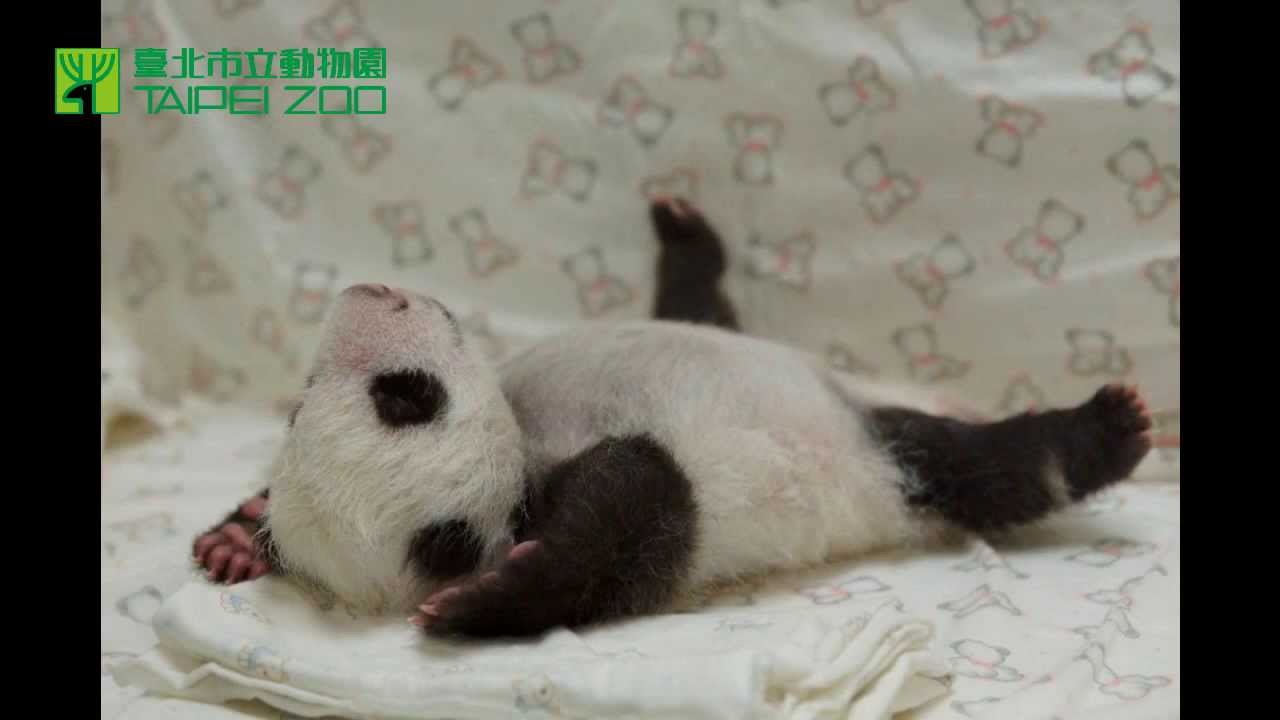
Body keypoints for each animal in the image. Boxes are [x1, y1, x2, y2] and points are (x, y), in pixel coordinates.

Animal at [193, 198, 1152, 638]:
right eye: (406, 396)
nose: (373, 291)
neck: (525, 442)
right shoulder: (653, 502)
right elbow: (633, 517)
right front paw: (491, 601)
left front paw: (237, 538)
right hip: (885, 458)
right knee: (990, 470)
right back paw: (1108, 430)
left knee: (702, 309)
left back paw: (684, 230)